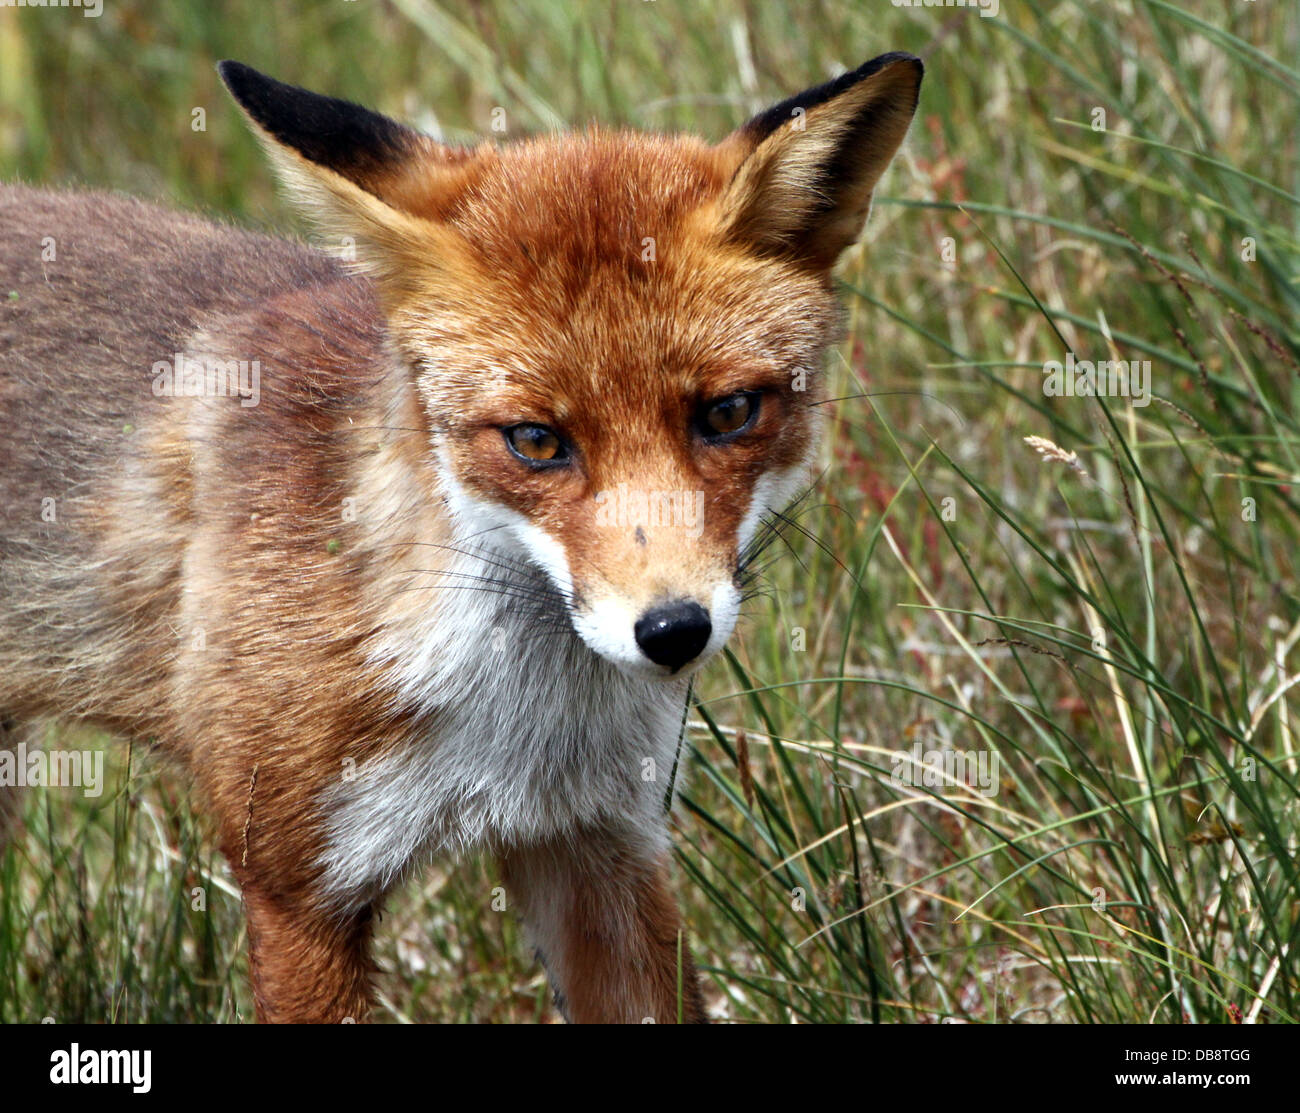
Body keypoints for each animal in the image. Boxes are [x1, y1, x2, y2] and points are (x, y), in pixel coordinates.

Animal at [0, 52, 922, 1023]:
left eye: (729, 412)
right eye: (537, 441)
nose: (673, 631)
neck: (516, 715)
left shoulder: (598, 840)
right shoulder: (293, 884)